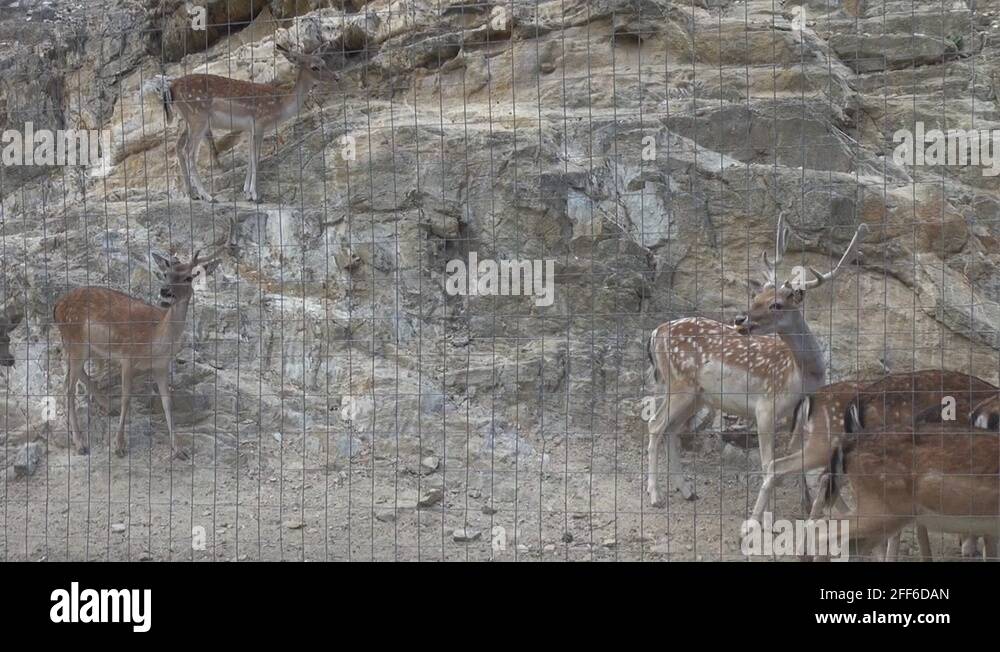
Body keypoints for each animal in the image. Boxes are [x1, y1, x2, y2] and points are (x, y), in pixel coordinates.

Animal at [53, 250, 221, 459]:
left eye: (188, 277)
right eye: (166, 274)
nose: (165, 291)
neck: (155, 341)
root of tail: (56, 307)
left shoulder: (161, 366)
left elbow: (167, 402)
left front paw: (179, 449)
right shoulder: (127, 356)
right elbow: (127, 398)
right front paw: (119, 445)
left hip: (83, 346)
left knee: (74, 376)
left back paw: (108, 405)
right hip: (76, 341)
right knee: (67, 388)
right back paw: (80, 443)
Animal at [142, 42, 341, 203]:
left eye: (324, 62)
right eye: (315, 67)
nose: (337, 77)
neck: (280, 106)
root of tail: (171, 87)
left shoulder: (250, 128)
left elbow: (251, 157)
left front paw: (246, 192)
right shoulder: (259, 122)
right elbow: (256, 158)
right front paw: (255, 195)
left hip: (187, 120)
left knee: (177, 146)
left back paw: (192, 194)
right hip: (198, 117)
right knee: (189, 151)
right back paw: (208, 196)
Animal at [645, 215, 867, 504]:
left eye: (776, 304)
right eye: (757, 296)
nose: (740, 319)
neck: (802, 375)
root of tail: (655, 333)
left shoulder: (795, 414)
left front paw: (804, 504)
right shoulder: (764, 407)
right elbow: (767, 466)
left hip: (698, 394)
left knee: (672, 429)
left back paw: (687, 490)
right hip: (678, 384)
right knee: (655, 425)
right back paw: (655, 494)